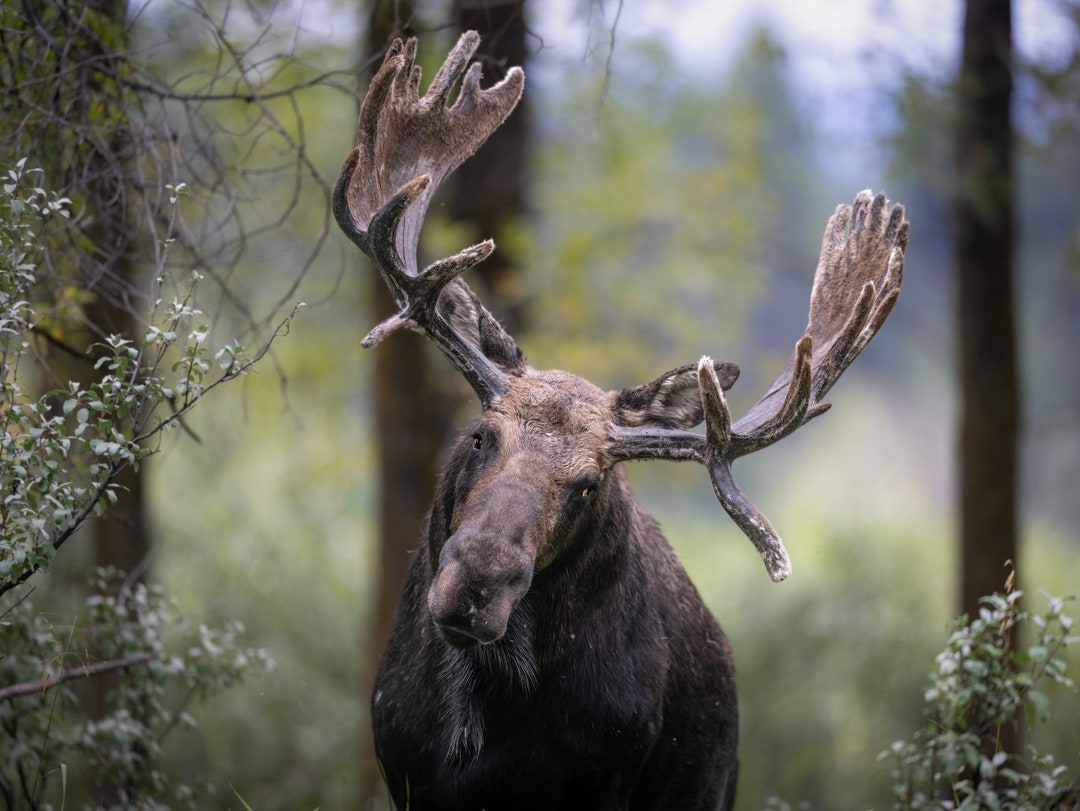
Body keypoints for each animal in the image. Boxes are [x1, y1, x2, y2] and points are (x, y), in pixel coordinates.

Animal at [334, 32, 908, 811]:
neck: (478, 721)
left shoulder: (607, 775)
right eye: (481, 435)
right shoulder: (400, 767)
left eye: (589, 485)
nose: (476, 582)